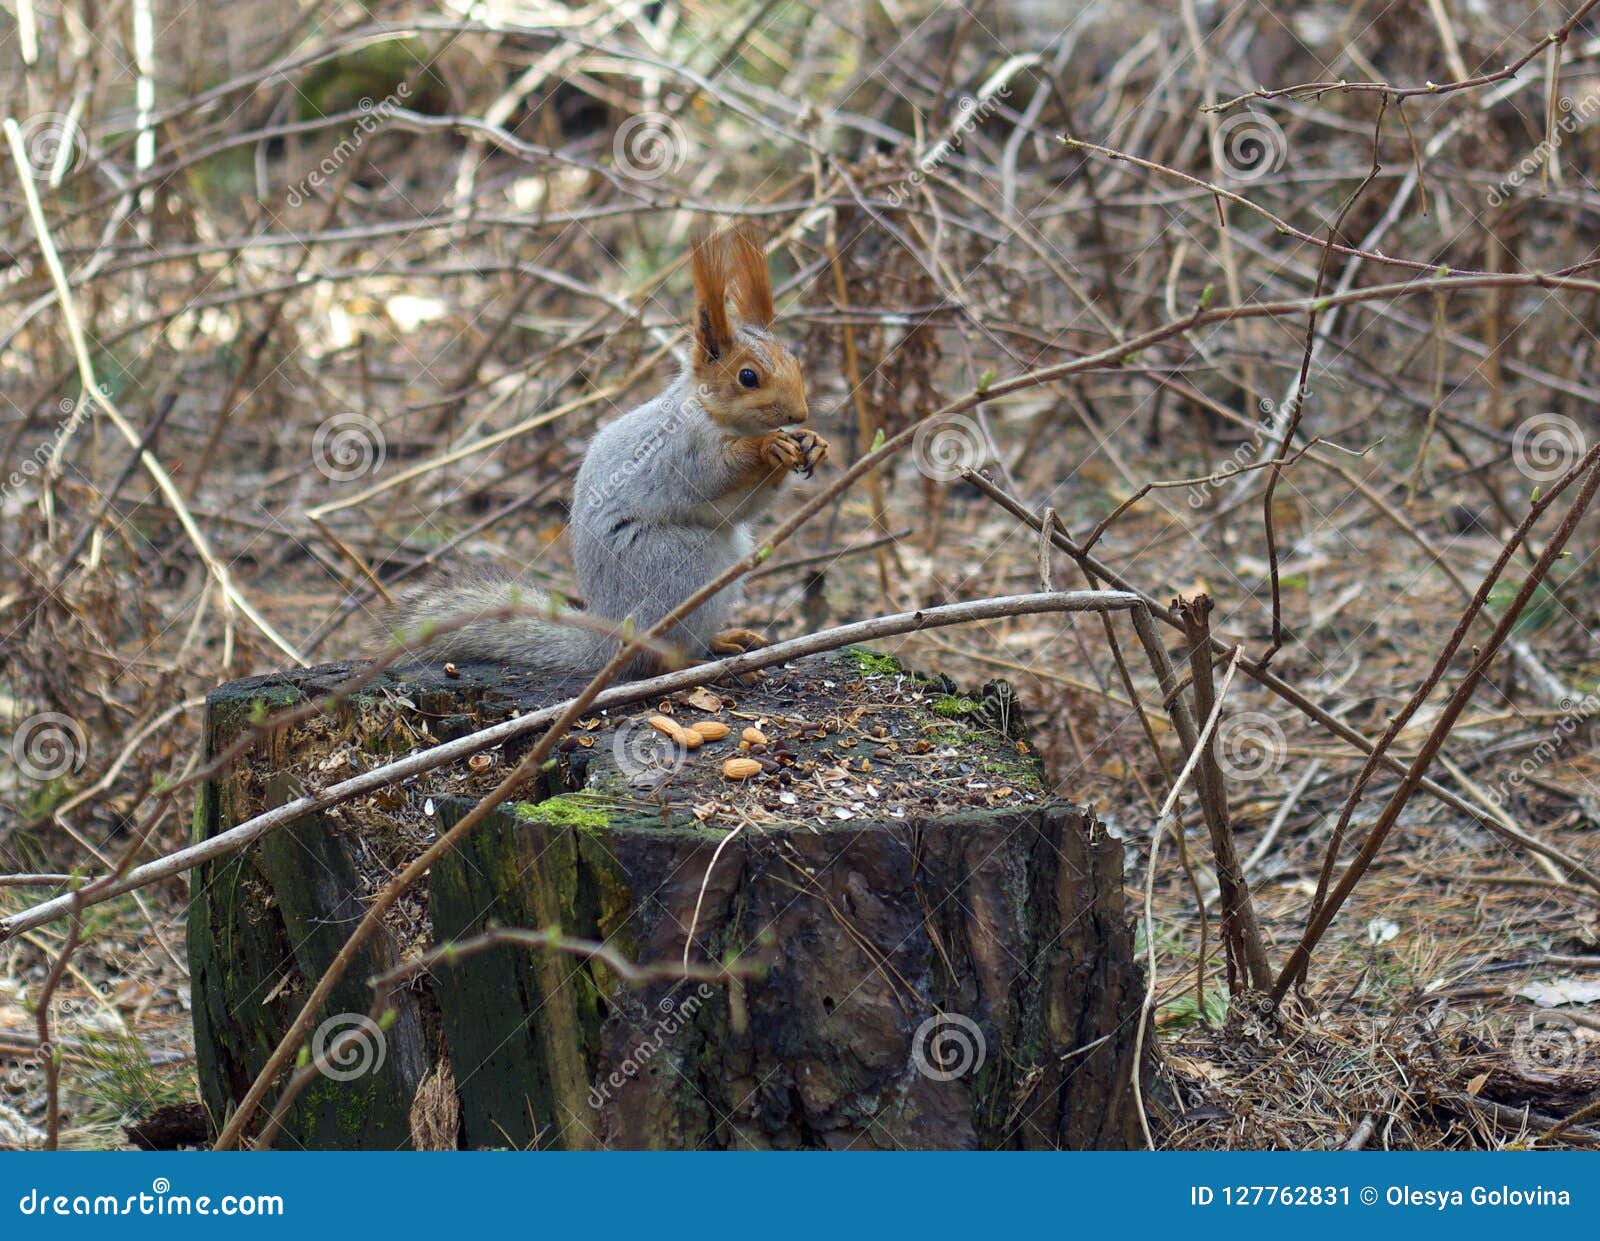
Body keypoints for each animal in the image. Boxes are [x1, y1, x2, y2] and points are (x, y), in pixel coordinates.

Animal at [384, 224, 829, 678]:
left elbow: (745, 506)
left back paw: (723, 640)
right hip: (677, 566)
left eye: (794, 360)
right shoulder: (679, 450)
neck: (714, 414)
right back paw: (683, 659)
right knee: (653, 655)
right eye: (747, 377)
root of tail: (608, 639)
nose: (799, 412)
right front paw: (767, 445)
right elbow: (715, 472)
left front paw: (810, 443)